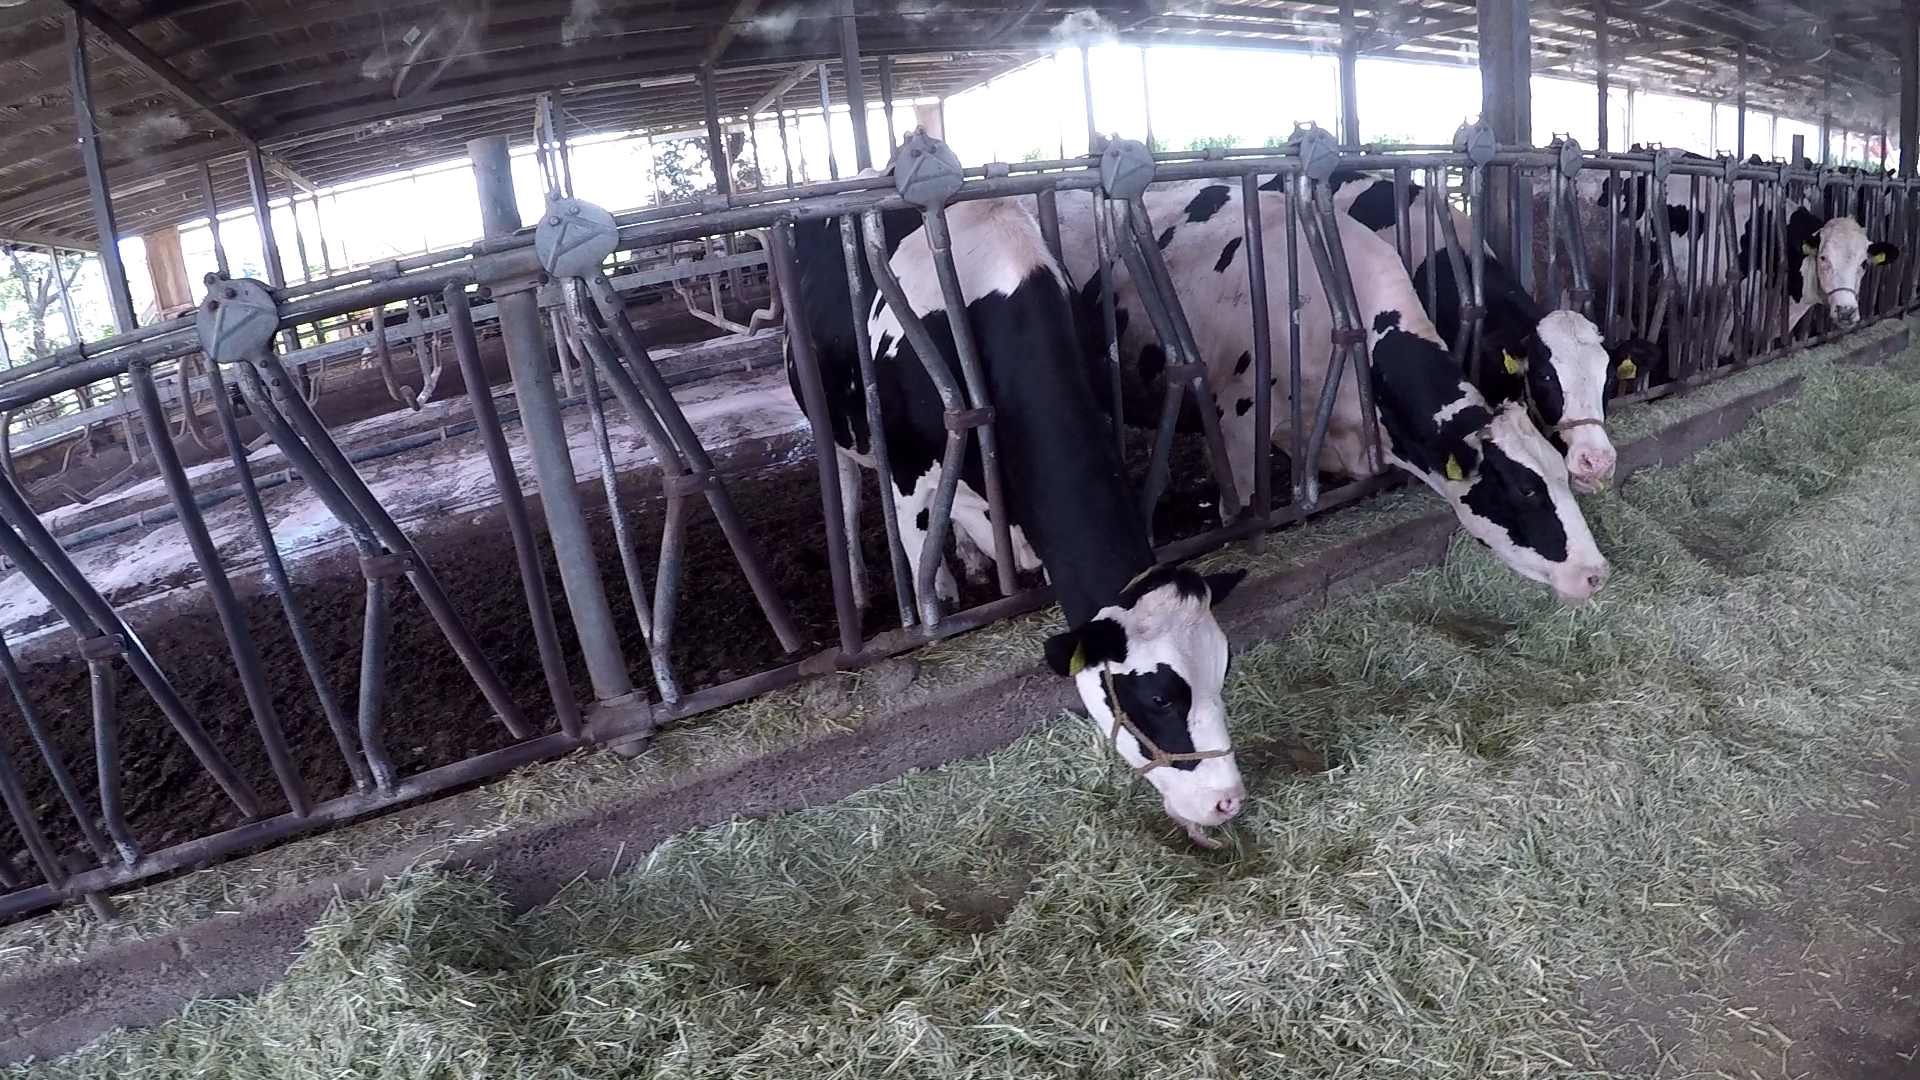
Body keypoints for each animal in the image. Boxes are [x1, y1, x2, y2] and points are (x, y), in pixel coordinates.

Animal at [786, 192, 1252, 847]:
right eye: (1159, 698)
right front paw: (939, 599)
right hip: (833, 426)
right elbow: (919, 541)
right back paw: (869, 581)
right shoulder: (907, 472)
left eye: (1223, 669)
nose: (1227, 802)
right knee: (853, 492)